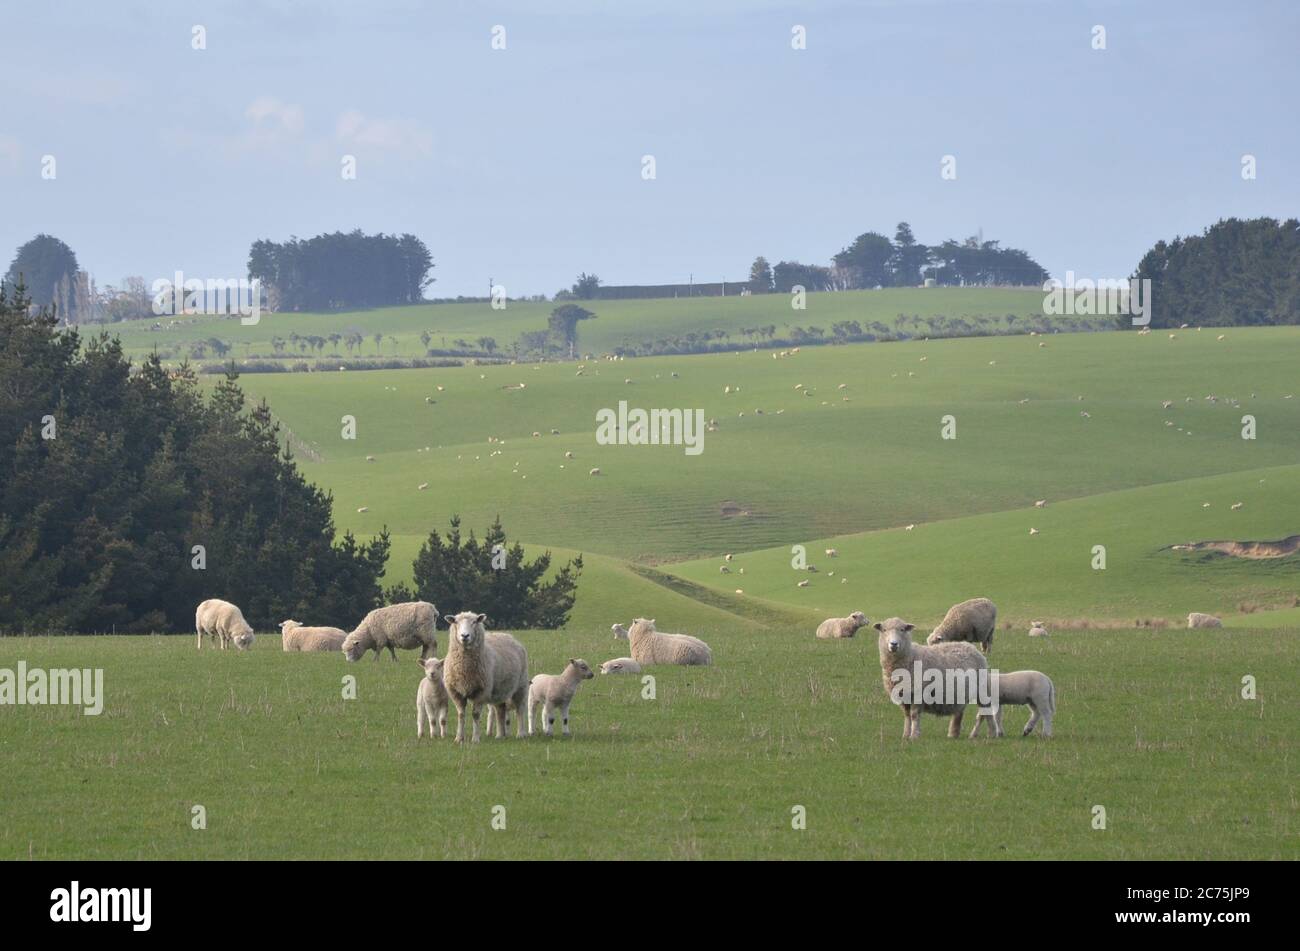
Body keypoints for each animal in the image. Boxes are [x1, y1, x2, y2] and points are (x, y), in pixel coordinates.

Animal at [441, 611, 530, 743]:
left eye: (474, 622)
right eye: (456, 622)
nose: (464, 636)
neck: (464, 669)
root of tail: (508, 635)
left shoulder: (481, 691)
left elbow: (475, 715)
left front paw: (475, 738)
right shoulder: (456, 692)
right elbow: (461, 714)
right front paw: (459, 738)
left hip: (521, 686)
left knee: (520, 709)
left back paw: (521, 734)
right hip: (500, 690)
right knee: (500, 710)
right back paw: (500, 735)